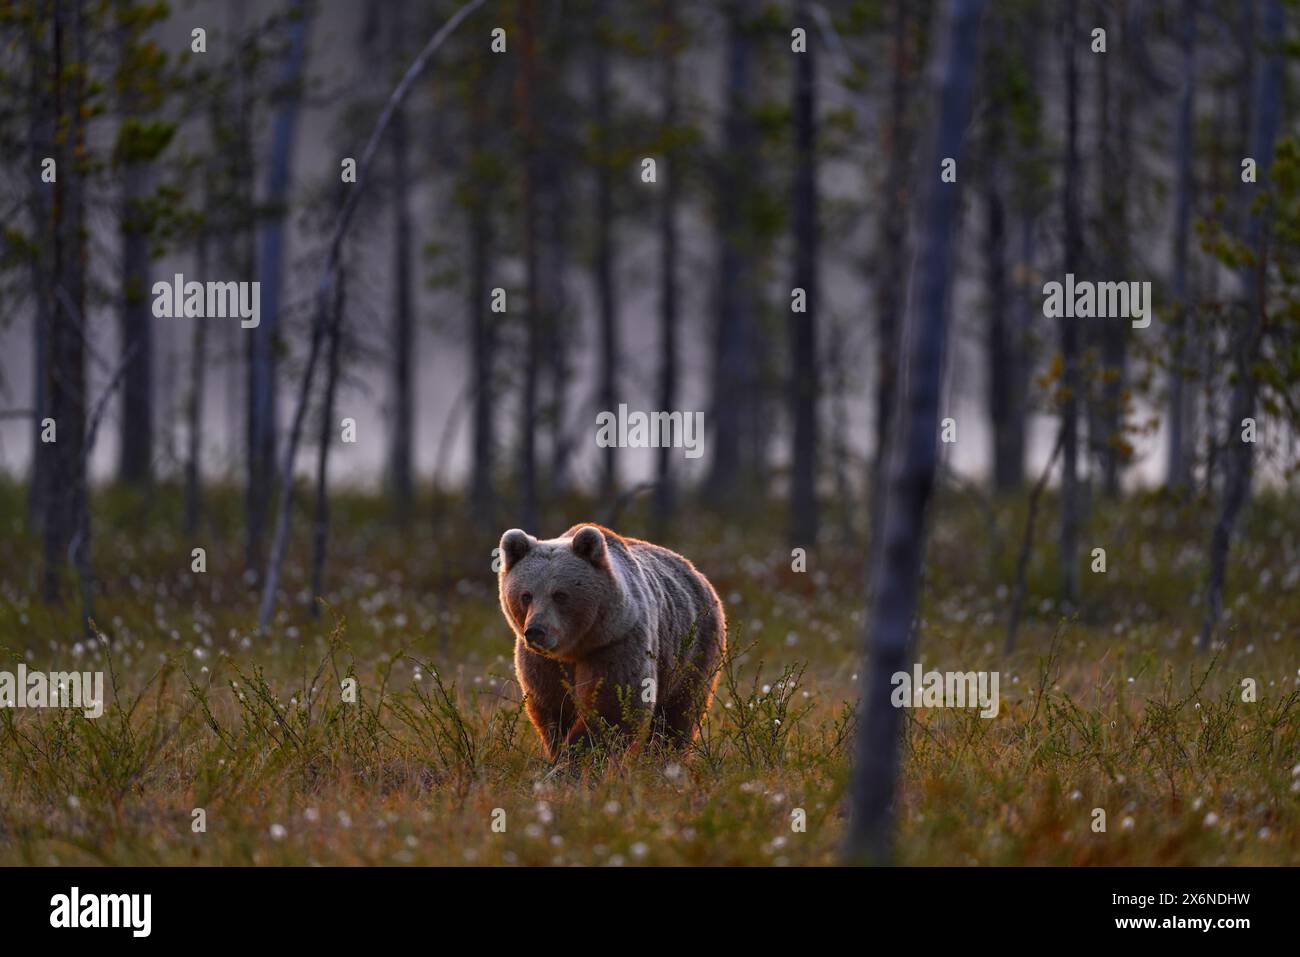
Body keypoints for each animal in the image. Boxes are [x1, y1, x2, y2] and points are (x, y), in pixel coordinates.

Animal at [497, 523, 726, 760]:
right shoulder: (543, 663)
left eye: (559, 595)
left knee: (680, 712)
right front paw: (559, 750)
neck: (574, 648)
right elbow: (551, 708)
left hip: (694, 650)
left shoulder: (615, 643)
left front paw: (577, 755)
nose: (535, 631)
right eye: (526, 595)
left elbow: (612, 706)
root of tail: (697, 572)